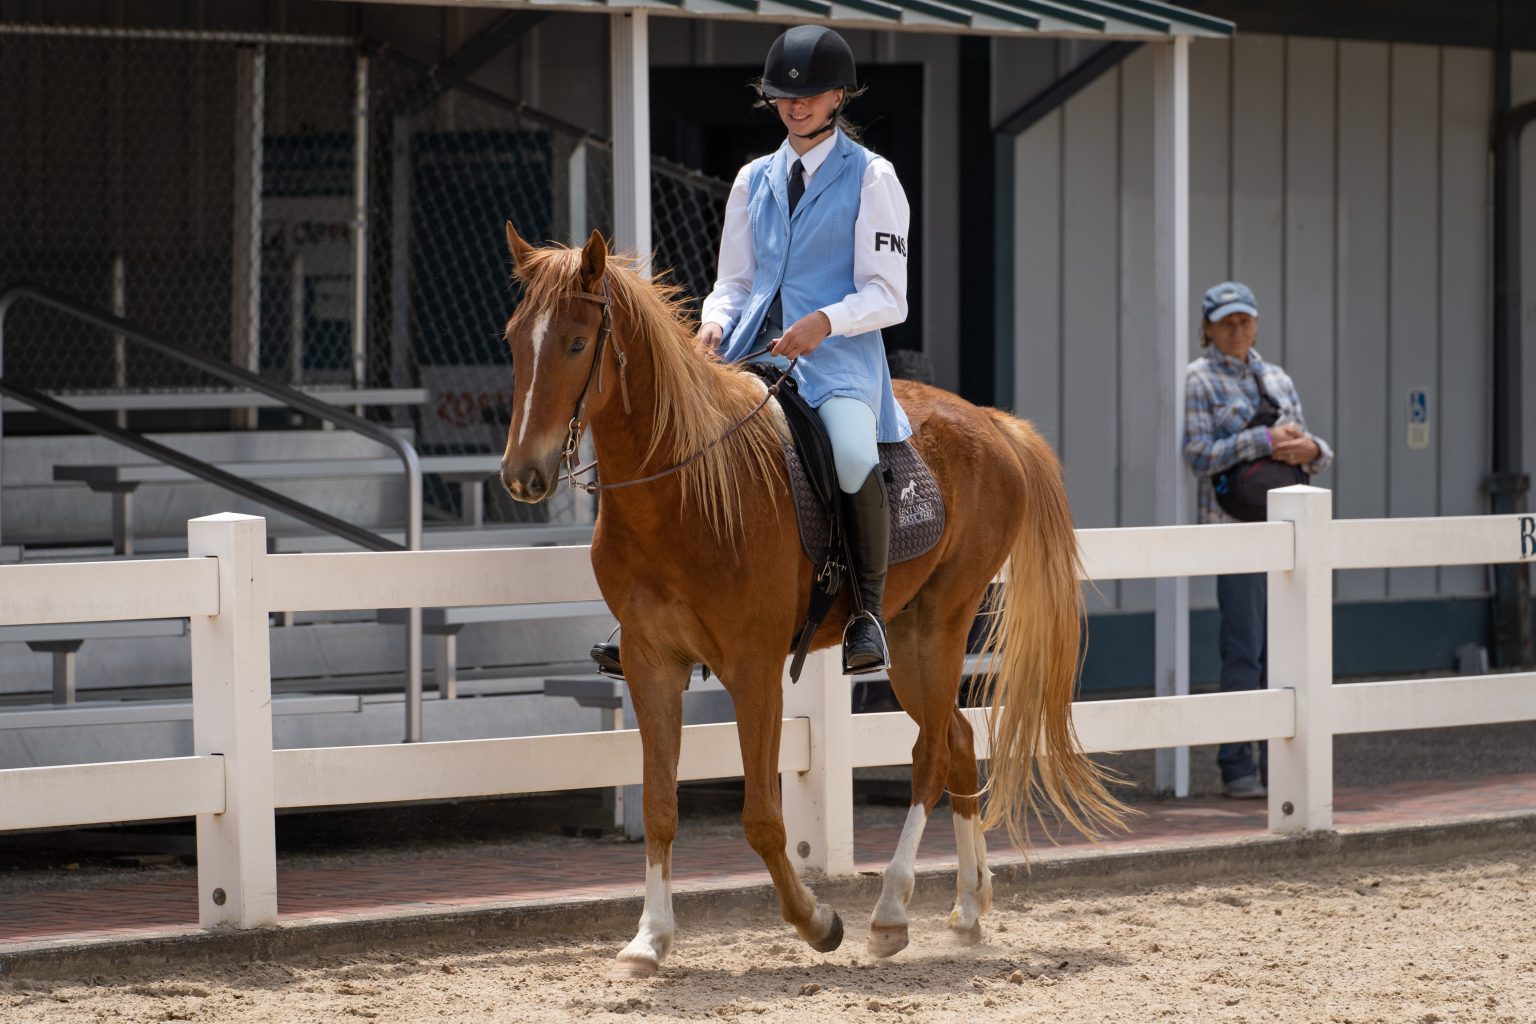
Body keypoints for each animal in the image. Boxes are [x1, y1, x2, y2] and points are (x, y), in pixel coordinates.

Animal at [497, 224, 1124, 978]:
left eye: (576, 343)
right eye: (513, 339)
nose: (522, 474)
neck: (684, 490)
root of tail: (992, 423)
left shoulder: (755, 669)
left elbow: (764, 818)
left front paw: (816, 920)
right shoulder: (652, 665)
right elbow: (658, 805)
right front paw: (650, 937)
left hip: (937, 628)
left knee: (929, 755)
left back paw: (889, 912)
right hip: (909, 640)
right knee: (958, 740)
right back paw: (969, 907)